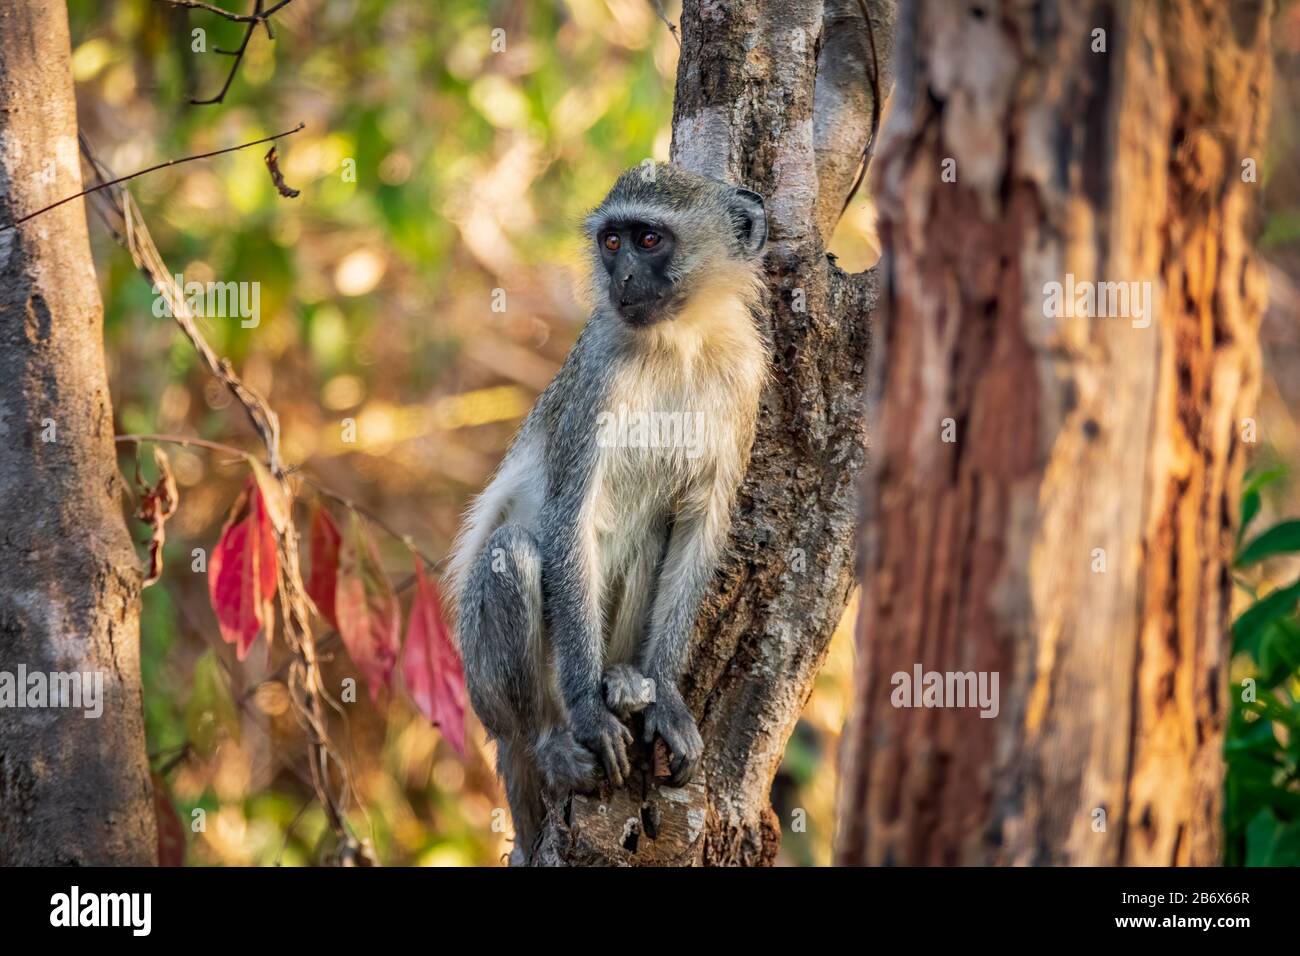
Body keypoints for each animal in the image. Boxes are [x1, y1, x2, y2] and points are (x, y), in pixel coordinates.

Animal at [446, 162, 769, 864]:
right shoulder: (598, 374)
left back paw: (624, 681)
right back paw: (552, 738)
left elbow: (700, 525)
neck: (680, 343)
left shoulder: (746, 376)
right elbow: (570, 517)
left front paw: (668, 698)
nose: (620, 280)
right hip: (482, 683)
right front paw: (594, 719)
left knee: (647, 538)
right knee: (513, 552)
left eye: (648, 240)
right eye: (612, 242)